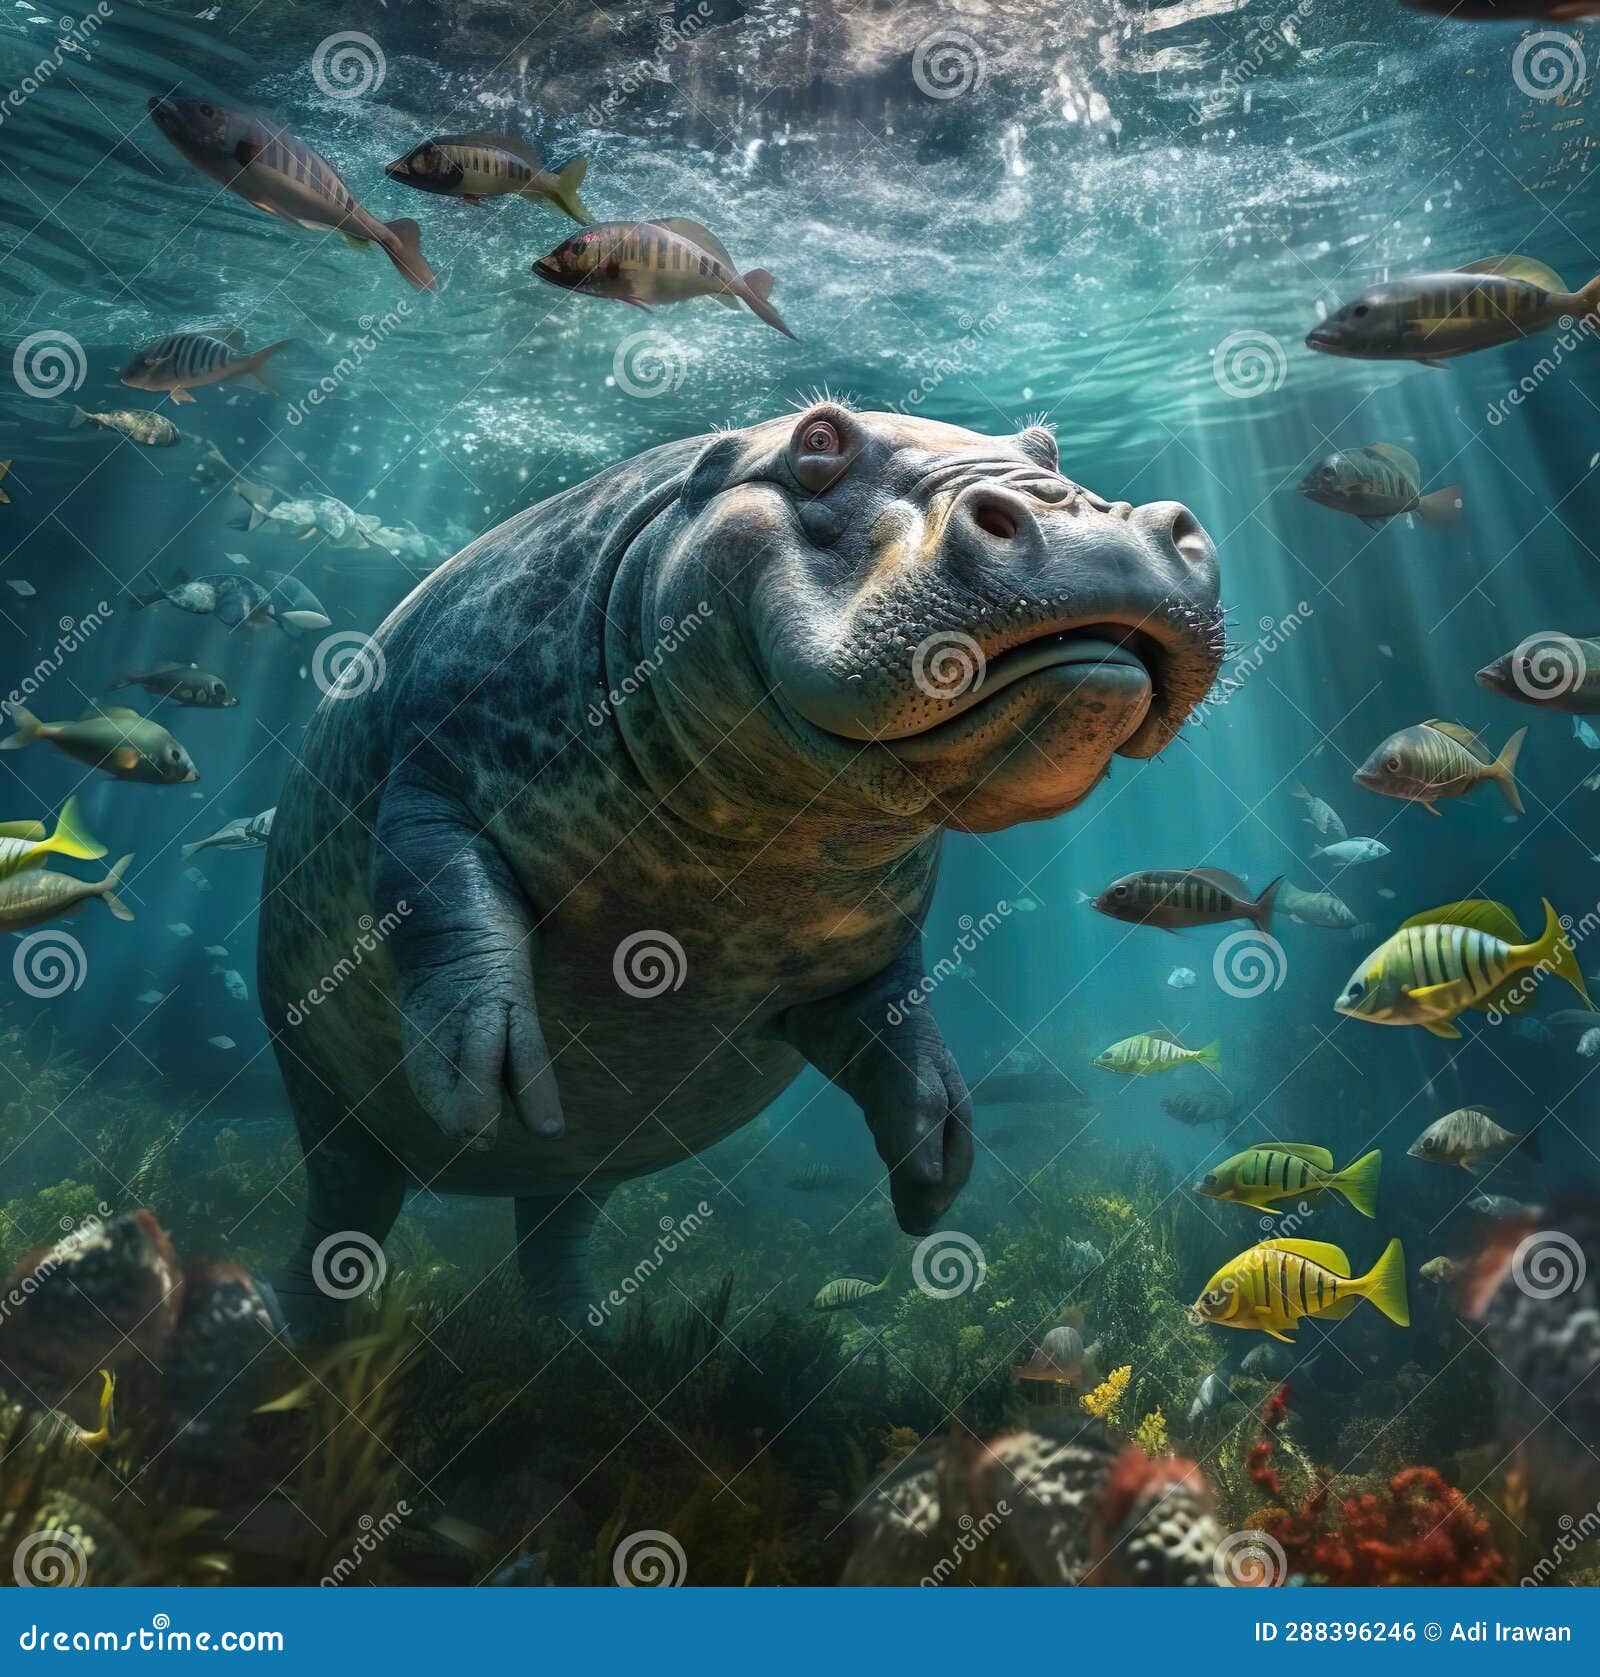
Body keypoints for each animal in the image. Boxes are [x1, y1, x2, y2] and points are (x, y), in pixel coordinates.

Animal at [258, 403, 1222, 1330]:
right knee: (344, 1217)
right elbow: (450, 908)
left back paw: (576, 1337)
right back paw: (302, 1334)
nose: (1086, 521)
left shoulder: (867, 955)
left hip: (584, 1165)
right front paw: (482, 1088)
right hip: (331, 1117)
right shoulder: (427, 779)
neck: (753, 830)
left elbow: (905, 1035)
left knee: (555, 1225)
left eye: (1048, 448)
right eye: (818, 438)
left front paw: (938, 1154)